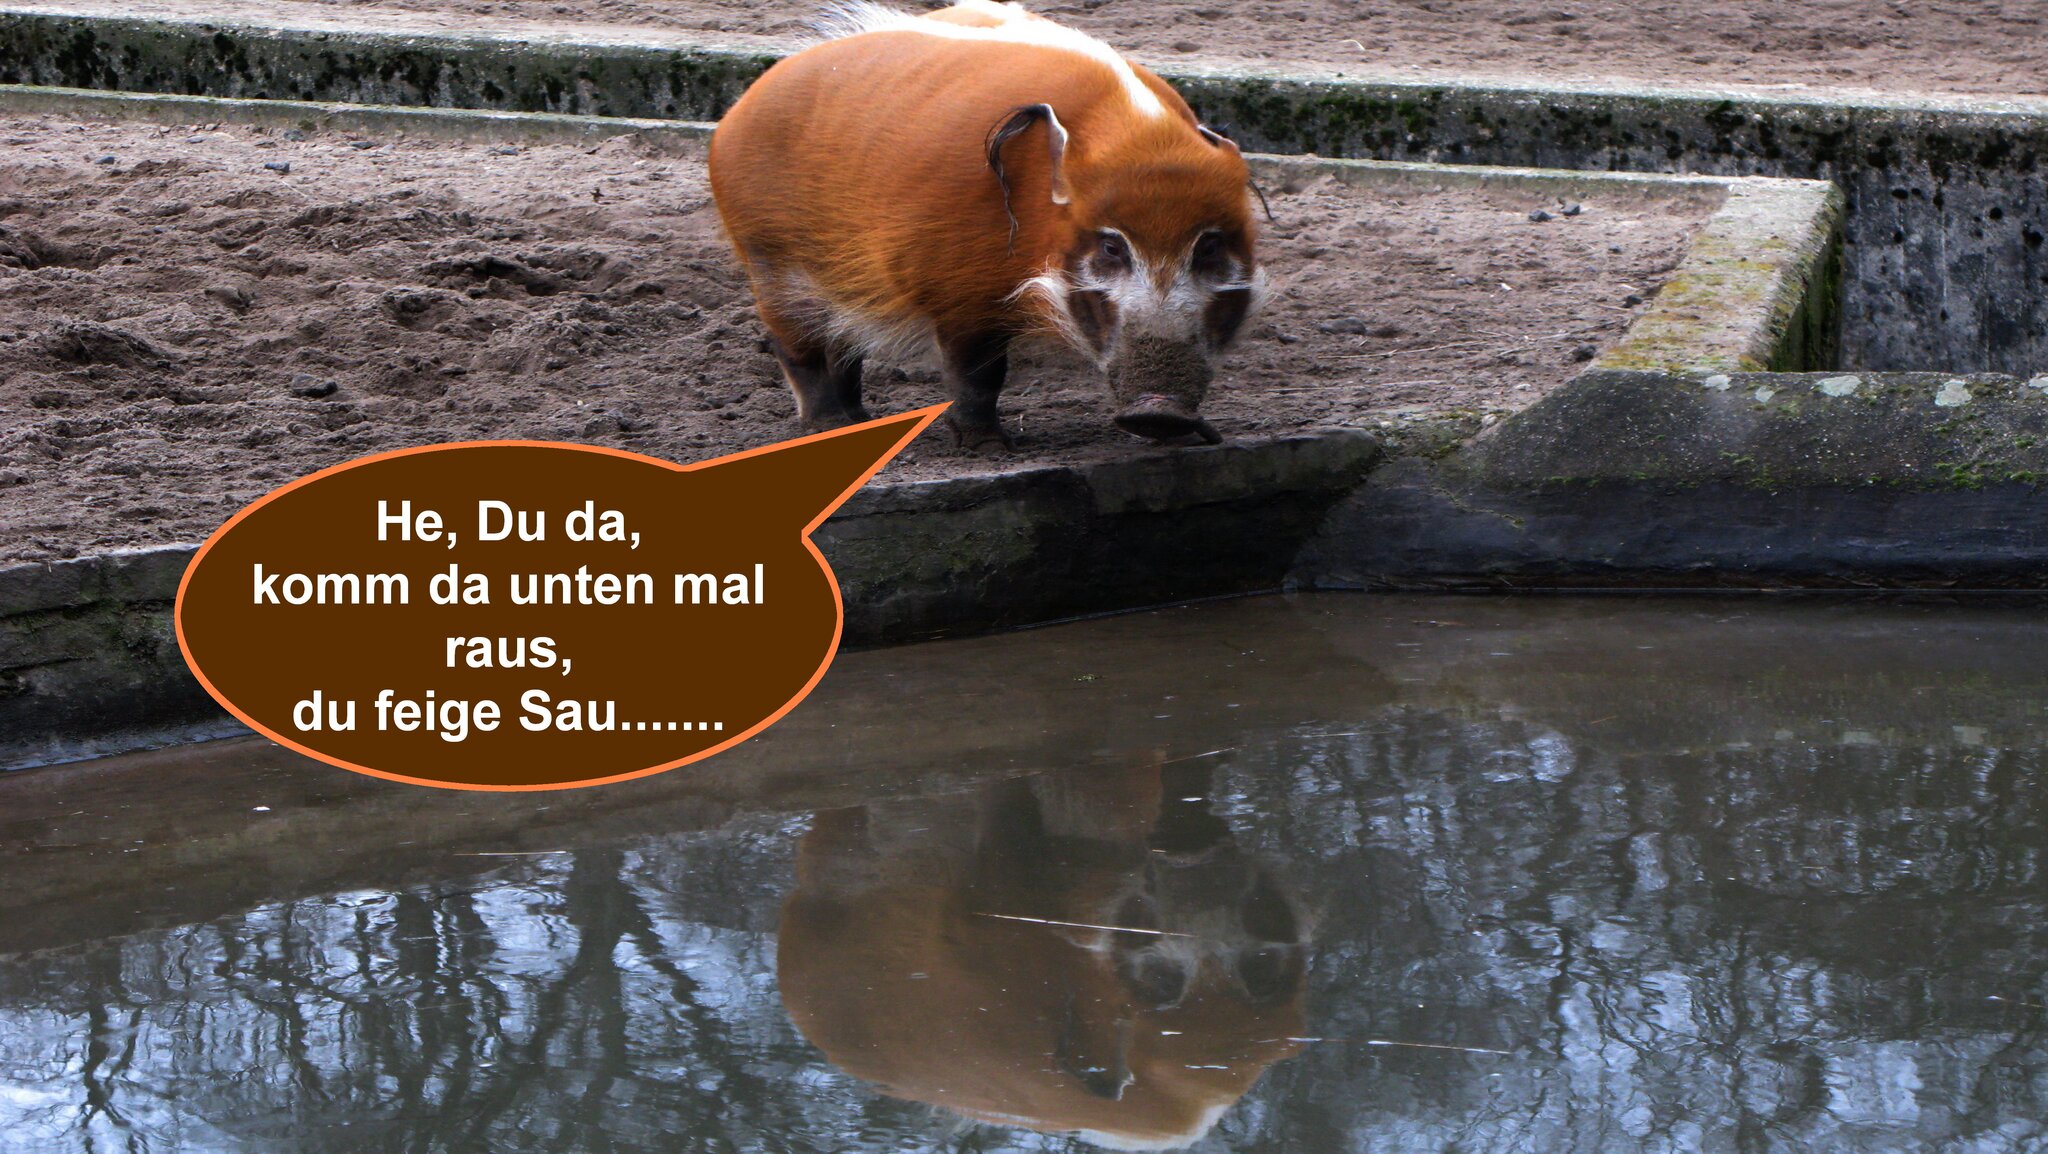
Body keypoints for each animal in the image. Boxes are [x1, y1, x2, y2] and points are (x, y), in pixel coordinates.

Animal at [708, 0, 1264, 449]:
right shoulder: (959, 291)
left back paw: (858, 419)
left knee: (844, 347)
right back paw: (828, 426)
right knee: (799, 347)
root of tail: (733, 116)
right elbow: (977, 373)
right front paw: (989, 447)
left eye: (1210, 246)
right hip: (771, 262)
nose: (1161, 414)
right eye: (1111, 247)